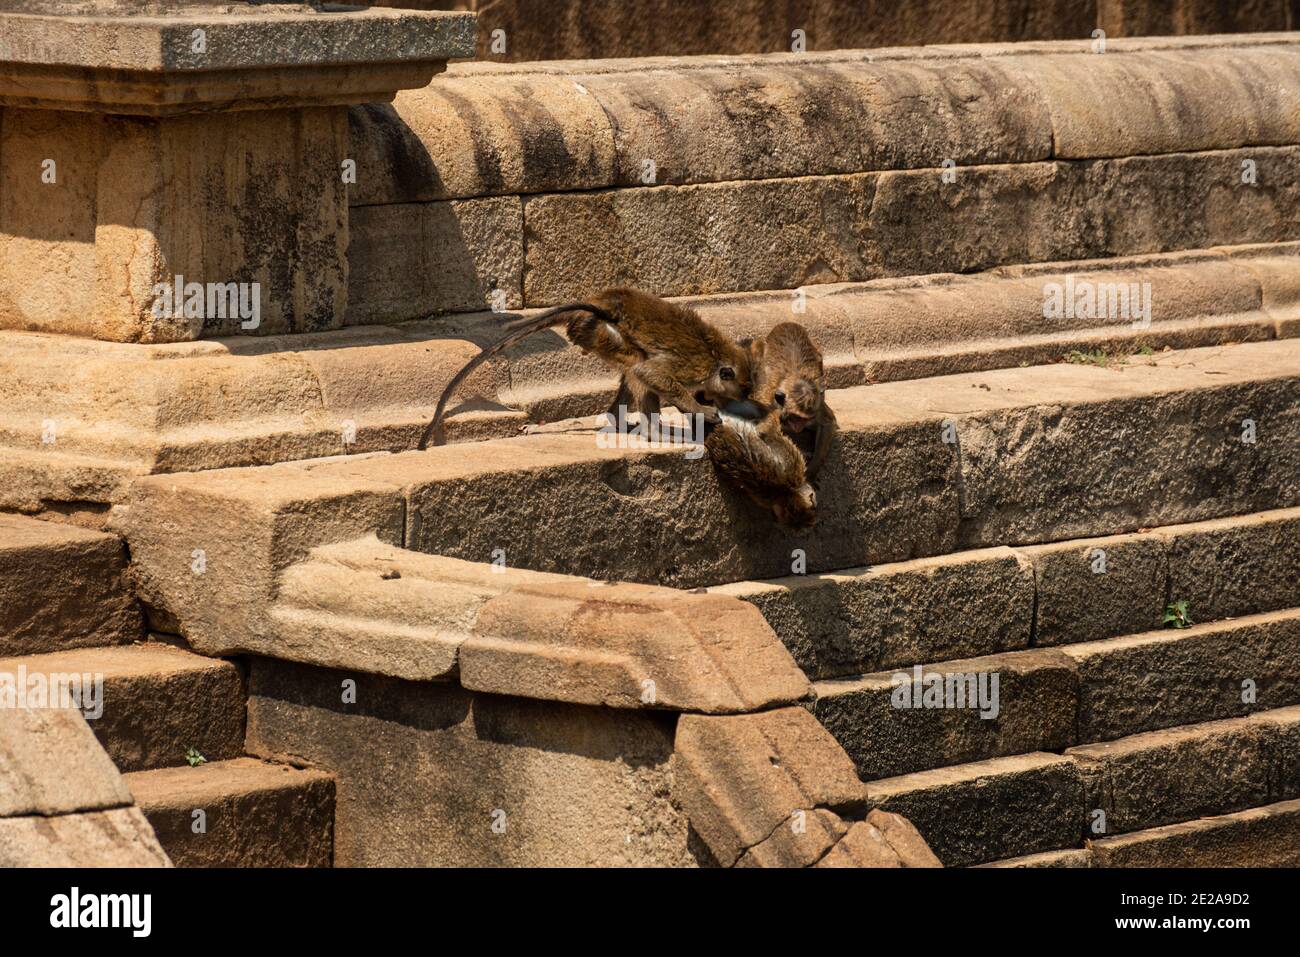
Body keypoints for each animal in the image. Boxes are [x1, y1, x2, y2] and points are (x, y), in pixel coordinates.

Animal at [419, 288, 753, 449]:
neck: (717, 359)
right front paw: (700, 410)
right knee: (637, 365)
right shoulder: (693, 367)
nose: (725, 402)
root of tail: (595, 304)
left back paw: (619, 421)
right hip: (600, 331)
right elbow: (651, 373)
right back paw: (653, 433)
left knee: (632, 366)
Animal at [740, 321, 838, 484]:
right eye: (795, 417)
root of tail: (787, 324)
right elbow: (764, 431)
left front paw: (811, 471)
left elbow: (828, 423)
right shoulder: (768, 402)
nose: (799, 427)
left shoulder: (817, 407)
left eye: (804, 419)